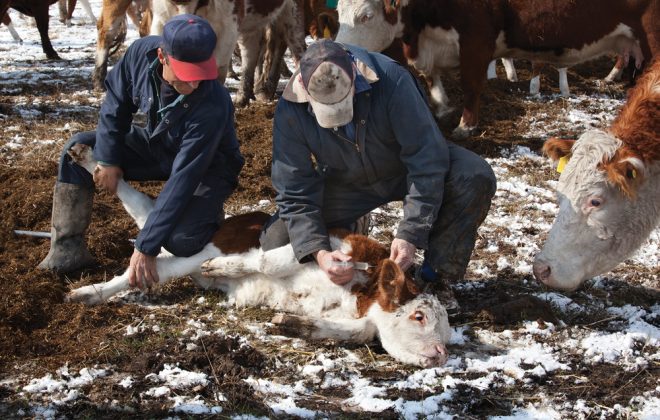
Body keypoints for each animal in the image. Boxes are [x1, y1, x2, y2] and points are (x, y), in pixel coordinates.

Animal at [64, 143, 452, 368]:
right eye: (419, 316)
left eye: (447, 333)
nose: (442, 353)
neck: (357, 295)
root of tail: (224, 223)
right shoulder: (340, 245)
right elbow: (271, 260)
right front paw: (227, 267)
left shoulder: (361, 320)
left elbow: (354, 332)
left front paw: (292, 324)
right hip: (209, 244)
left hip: (186, 252)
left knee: (151, 244)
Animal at [335, 0, 658, 138]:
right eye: (338, 11)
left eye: (366, 16)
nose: (338, 51)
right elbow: (432, 80)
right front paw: (441, 108)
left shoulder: (477, 38)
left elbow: (471, 84)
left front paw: (466, 125)